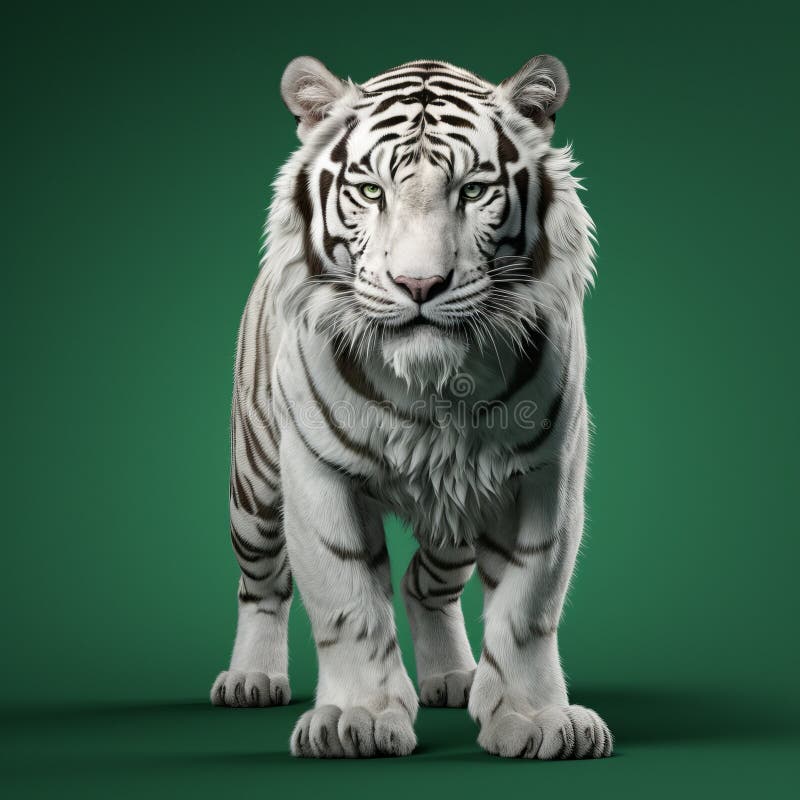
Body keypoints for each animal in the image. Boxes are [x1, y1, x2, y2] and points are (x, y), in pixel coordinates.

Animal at [210, 54, 613, 760]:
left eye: (473, 192)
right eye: (371, 192)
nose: (419, 284)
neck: (435, 388)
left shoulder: (546, 475)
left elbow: (529, 605)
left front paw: (534, 718)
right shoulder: (316, 473)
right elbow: (348, 600)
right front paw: (358, 718)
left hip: (458, 509)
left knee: (426, 583)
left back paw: (452, 676)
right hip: (255, 485)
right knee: (261, 582)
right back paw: (251, 678)